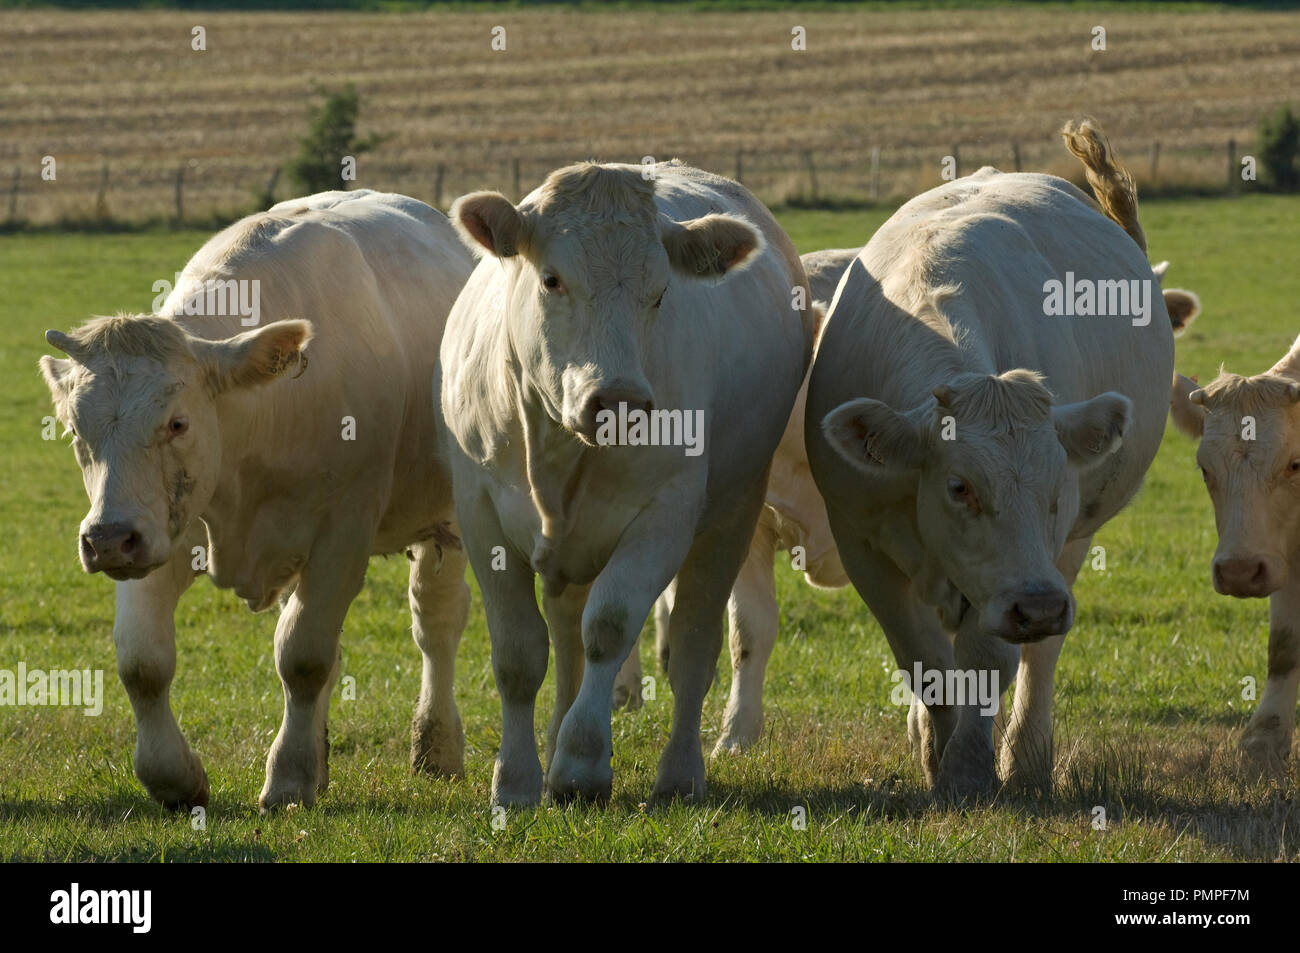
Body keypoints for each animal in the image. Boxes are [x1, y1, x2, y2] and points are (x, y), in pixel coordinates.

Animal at [39, 190, 475, 811]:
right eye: (76, 431)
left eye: (178, 423)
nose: (105, 540)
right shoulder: (160, 530)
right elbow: (143, 662)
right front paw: (176, 778)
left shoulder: (342, 534)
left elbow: (304, 656)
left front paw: (288, 778)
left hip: (449, 520)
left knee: (435, 623)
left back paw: (436, 749)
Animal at [438, 160, 813, 805]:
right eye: (552, 280)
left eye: (660, 293)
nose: (618, 401)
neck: (558, 447)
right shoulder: (481, 514)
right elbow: (519, 655)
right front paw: (516, 780)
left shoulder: (665, 516)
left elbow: (610, 629)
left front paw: (581, 764)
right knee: (565, 639)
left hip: (733, 517)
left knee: (693, 647)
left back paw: (680, 773)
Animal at [805, 120, 1178, 798]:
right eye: (959, 487)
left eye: (1057, 487)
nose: (1040, 606)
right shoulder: (860, 544)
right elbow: (925, 664)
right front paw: (937, 755)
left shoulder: (1028, 568)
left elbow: (989, 660)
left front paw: (970, 768)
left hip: (1069, 551)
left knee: (1039, 658)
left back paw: (1026, 757)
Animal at [1170, 337, 1300, 774]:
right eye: (1204, 469)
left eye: (1295, 463)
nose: (1239, 571)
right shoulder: (1284, 555)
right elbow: (1283, 646)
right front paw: (1265, 737)